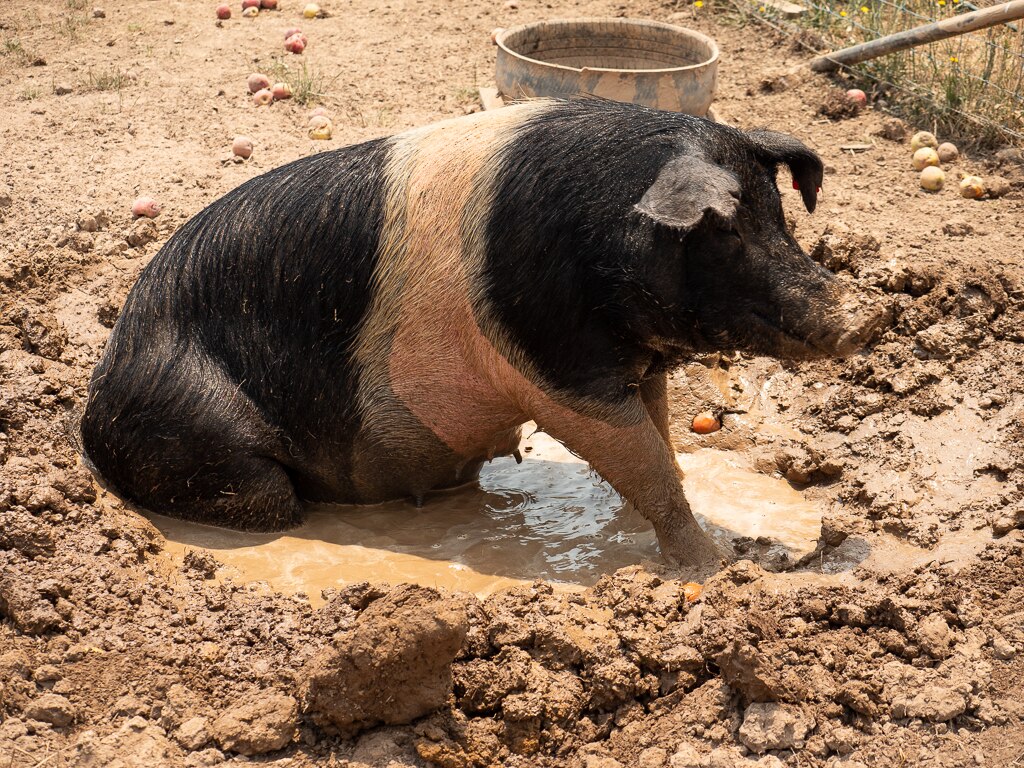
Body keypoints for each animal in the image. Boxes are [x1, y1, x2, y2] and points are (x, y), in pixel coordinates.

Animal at [80, 98, 886, 571]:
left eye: (778, 218)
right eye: (726, 233)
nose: (864, 314)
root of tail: (92, 411)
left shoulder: (636, 363)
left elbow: (663, 448)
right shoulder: (552, 366)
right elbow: (649, 467)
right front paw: (716, 566)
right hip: (209, 439)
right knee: (266, 500)